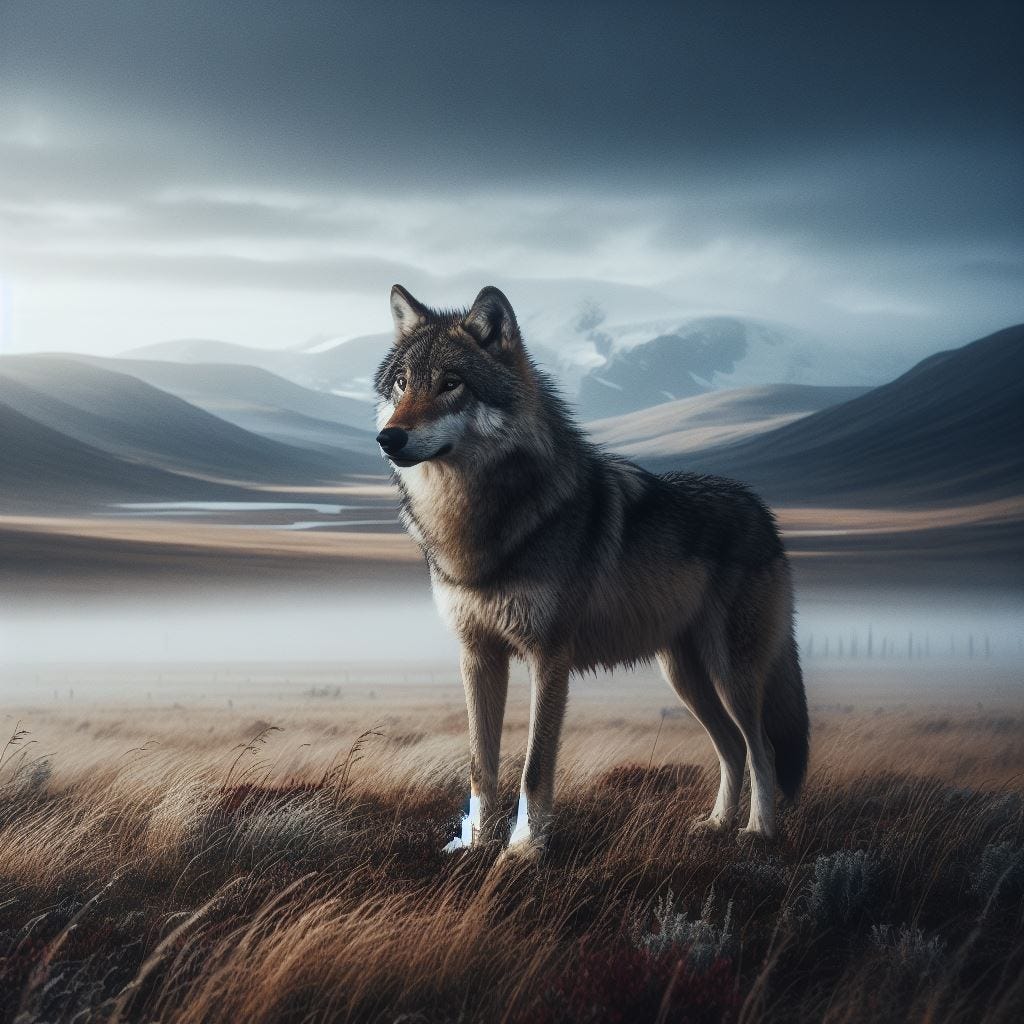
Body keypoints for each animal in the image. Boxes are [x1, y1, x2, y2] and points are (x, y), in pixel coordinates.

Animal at [374, 285, 809, 857]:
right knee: (732, 747)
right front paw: (476, 846)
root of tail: (763, 511)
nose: (389, 438)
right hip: (683, 676)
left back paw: (758, 833)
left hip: (730, 672)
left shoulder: (549, 656)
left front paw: (524, 850)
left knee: (761, 748)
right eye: (402, 383)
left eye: (451, 384)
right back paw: (716, 825)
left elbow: (534, 767)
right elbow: (479, 765)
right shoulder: (478, 655)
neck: (476, 526)